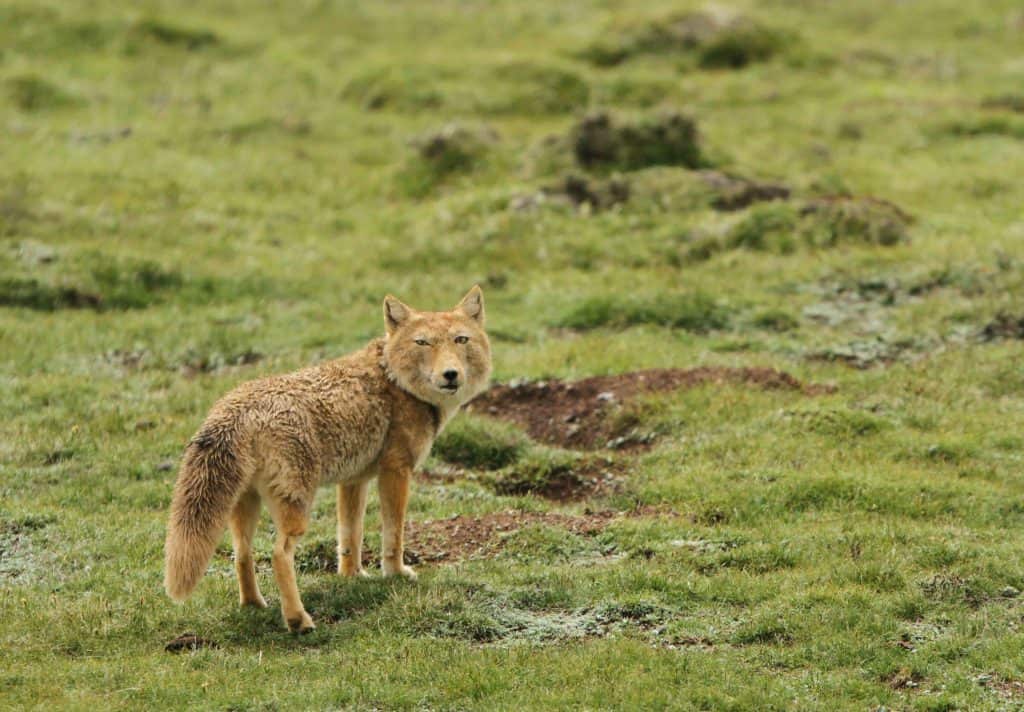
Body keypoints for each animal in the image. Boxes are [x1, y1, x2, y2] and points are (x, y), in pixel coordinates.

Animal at [164, 286, 491, 631]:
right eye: (423, 342)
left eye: (461, 340)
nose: (451, 375)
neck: (394, 378)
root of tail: (236, 407)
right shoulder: (396, 471)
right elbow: (394, 534)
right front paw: (396, 574)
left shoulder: (354, 480)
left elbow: (350, 536)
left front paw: (352, 576)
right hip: (297, 510)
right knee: (278, 555)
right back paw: (298, 620)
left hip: (245, 508)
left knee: (242, 554)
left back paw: (254, 605)